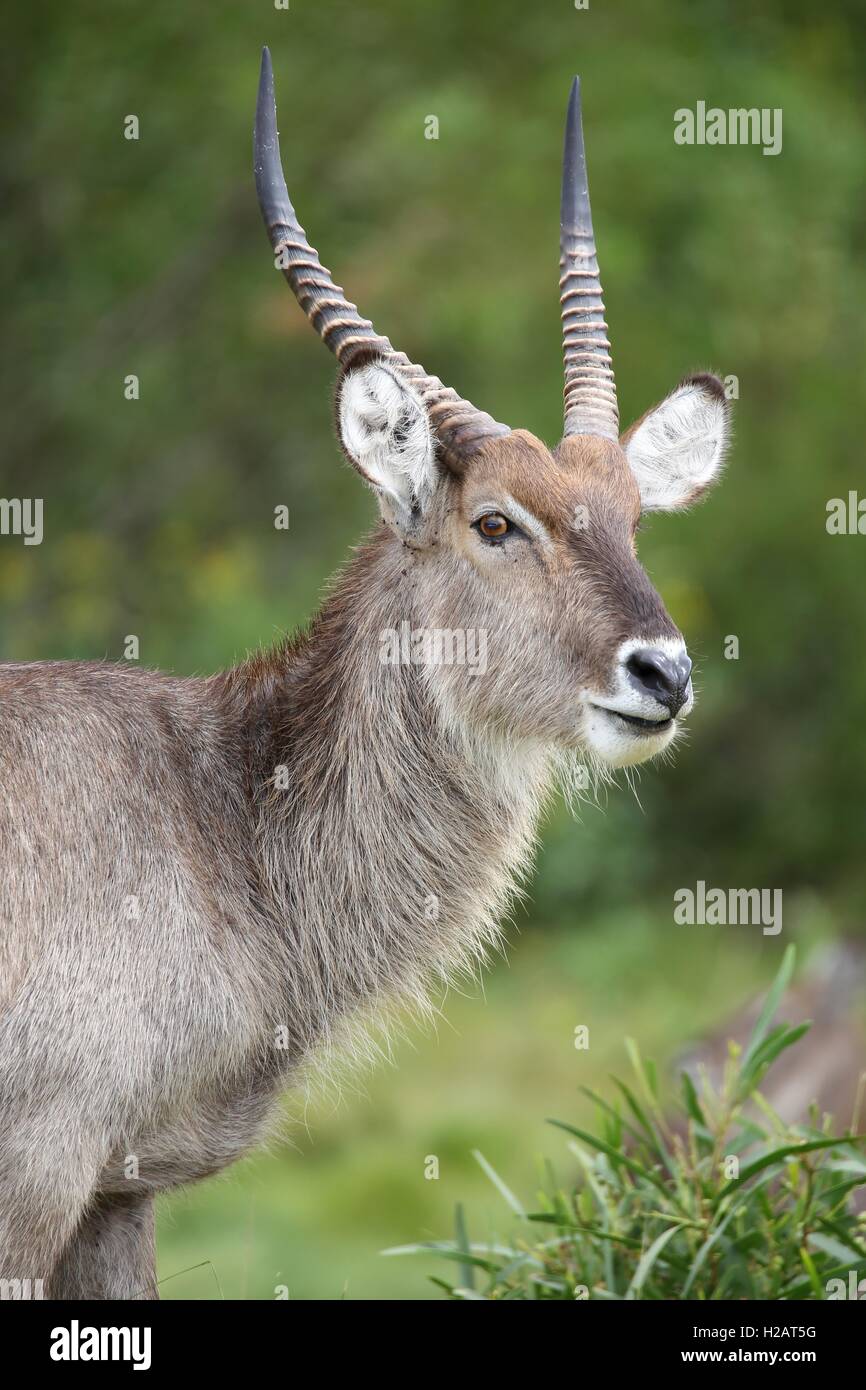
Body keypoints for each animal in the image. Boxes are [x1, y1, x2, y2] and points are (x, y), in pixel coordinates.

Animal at [0, 49, 730, 1300]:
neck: (215, 811)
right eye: (495, 521)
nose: (663, 673)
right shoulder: (37, 1167)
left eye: (632, 518)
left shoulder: (116, 1190)